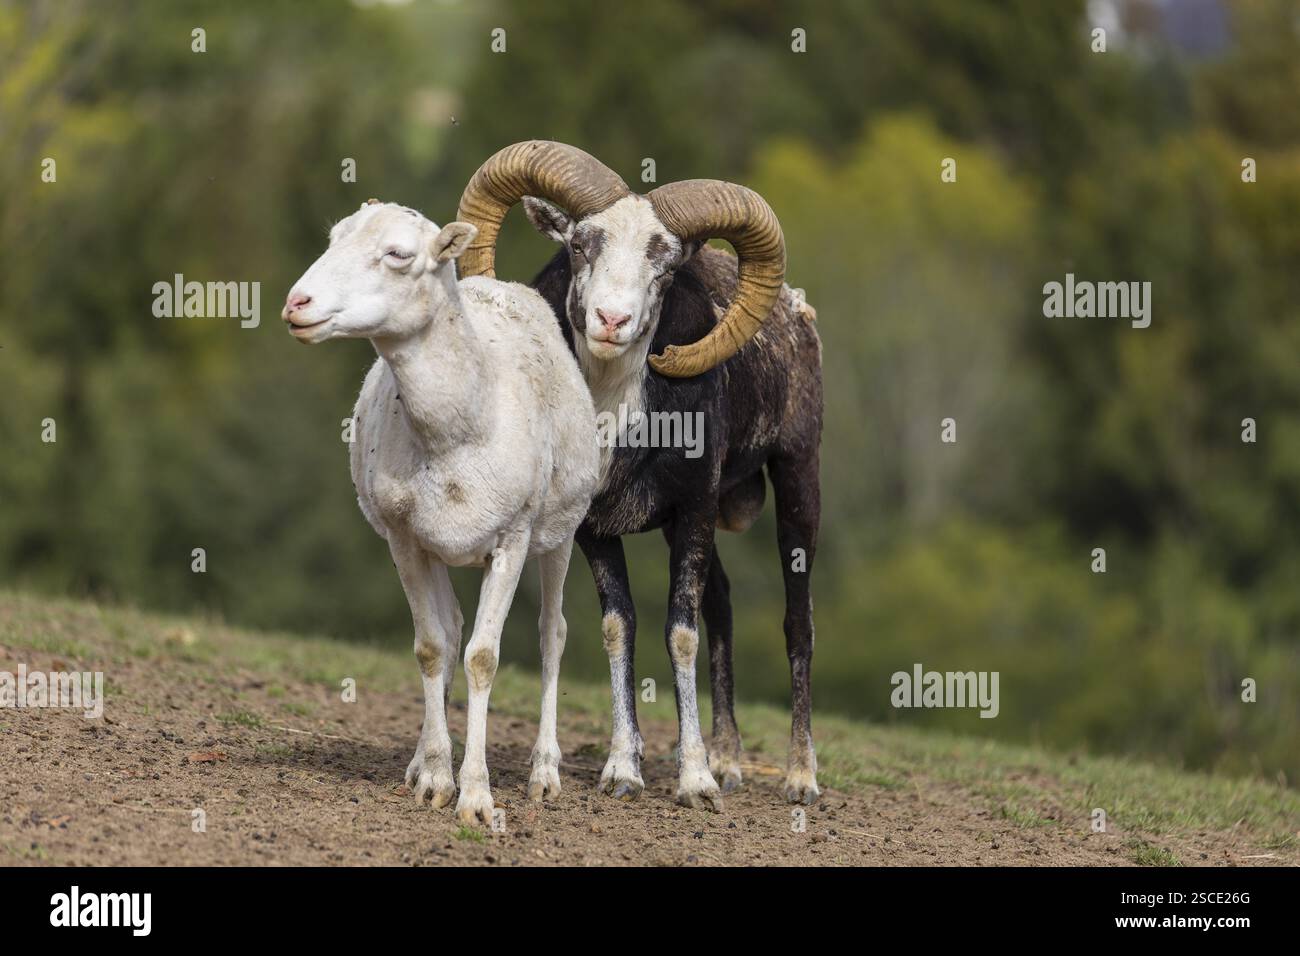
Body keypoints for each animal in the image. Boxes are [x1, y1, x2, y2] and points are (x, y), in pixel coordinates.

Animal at [282, 199, 599, 826]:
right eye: (335, 238)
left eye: (398, 253)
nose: (297, 305)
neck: (458, 435)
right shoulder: (406, 541)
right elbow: (433, 648)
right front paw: (433, 780)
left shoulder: (511, 543)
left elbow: (483, 659)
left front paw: (475, 799)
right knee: (450, 630)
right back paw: (423, 761)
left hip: (559, 539)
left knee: (552, 634)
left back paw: (544, 773)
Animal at [454, 142, 823, 810]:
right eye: (581, 245)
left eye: (666, 266)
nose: (610, 319)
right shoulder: (595, 528)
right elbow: (619, 627)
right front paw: (625, 770)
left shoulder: (696, 506)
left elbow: (680, 633)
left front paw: (696, 784)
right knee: (721, 602)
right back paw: (729, 760)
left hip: (797, 479)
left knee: (796, 620)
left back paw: (800, 779)